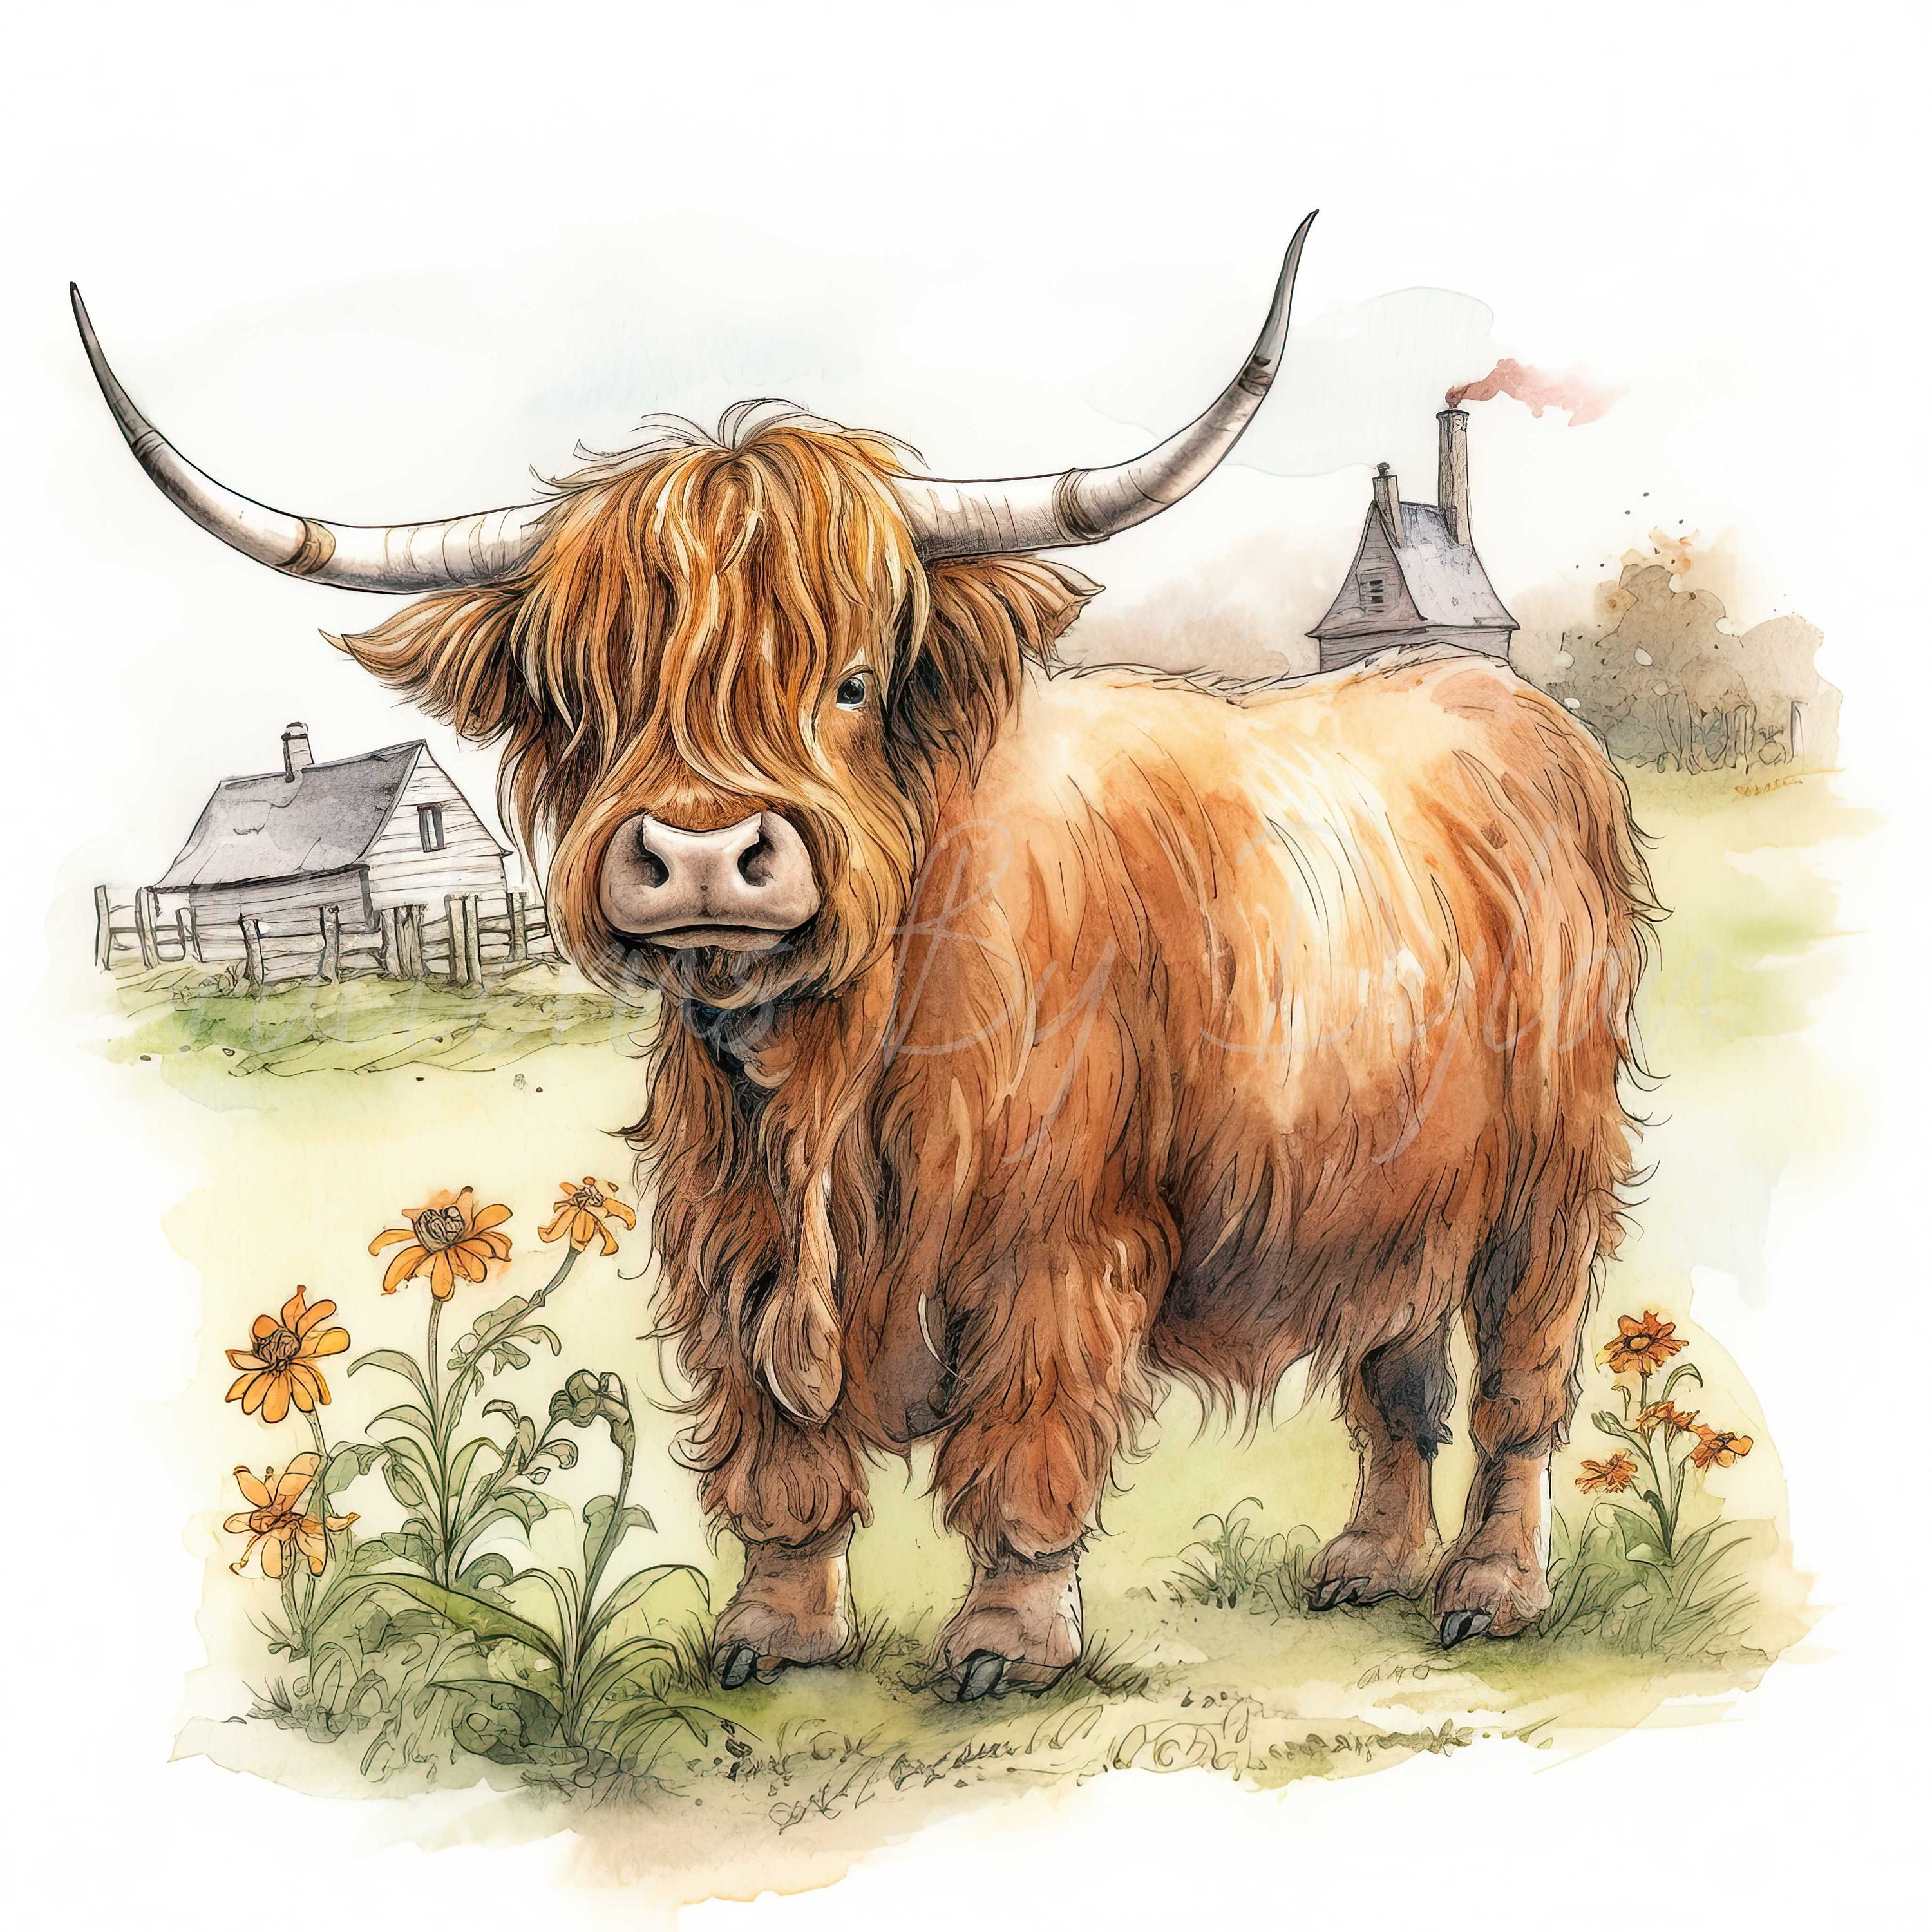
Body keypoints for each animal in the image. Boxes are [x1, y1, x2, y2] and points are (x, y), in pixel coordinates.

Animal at [75, 214, 1656, 1701]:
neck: (829, 1065)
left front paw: (1009, 1641)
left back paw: (1489, 1591)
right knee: (1399, 1373)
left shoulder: (1054, 1241)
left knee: (1518, 1385)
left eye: (849, 682)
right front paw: (774, 1630)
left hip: (1548, 1167)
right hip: (1392, 1183)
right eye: (590, 695)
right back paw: (1368, 1562)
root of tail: (1507, 705)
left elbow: (1025, 1442)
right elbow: (779, 1446)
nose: (703, 853)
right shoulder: (732, 1232)